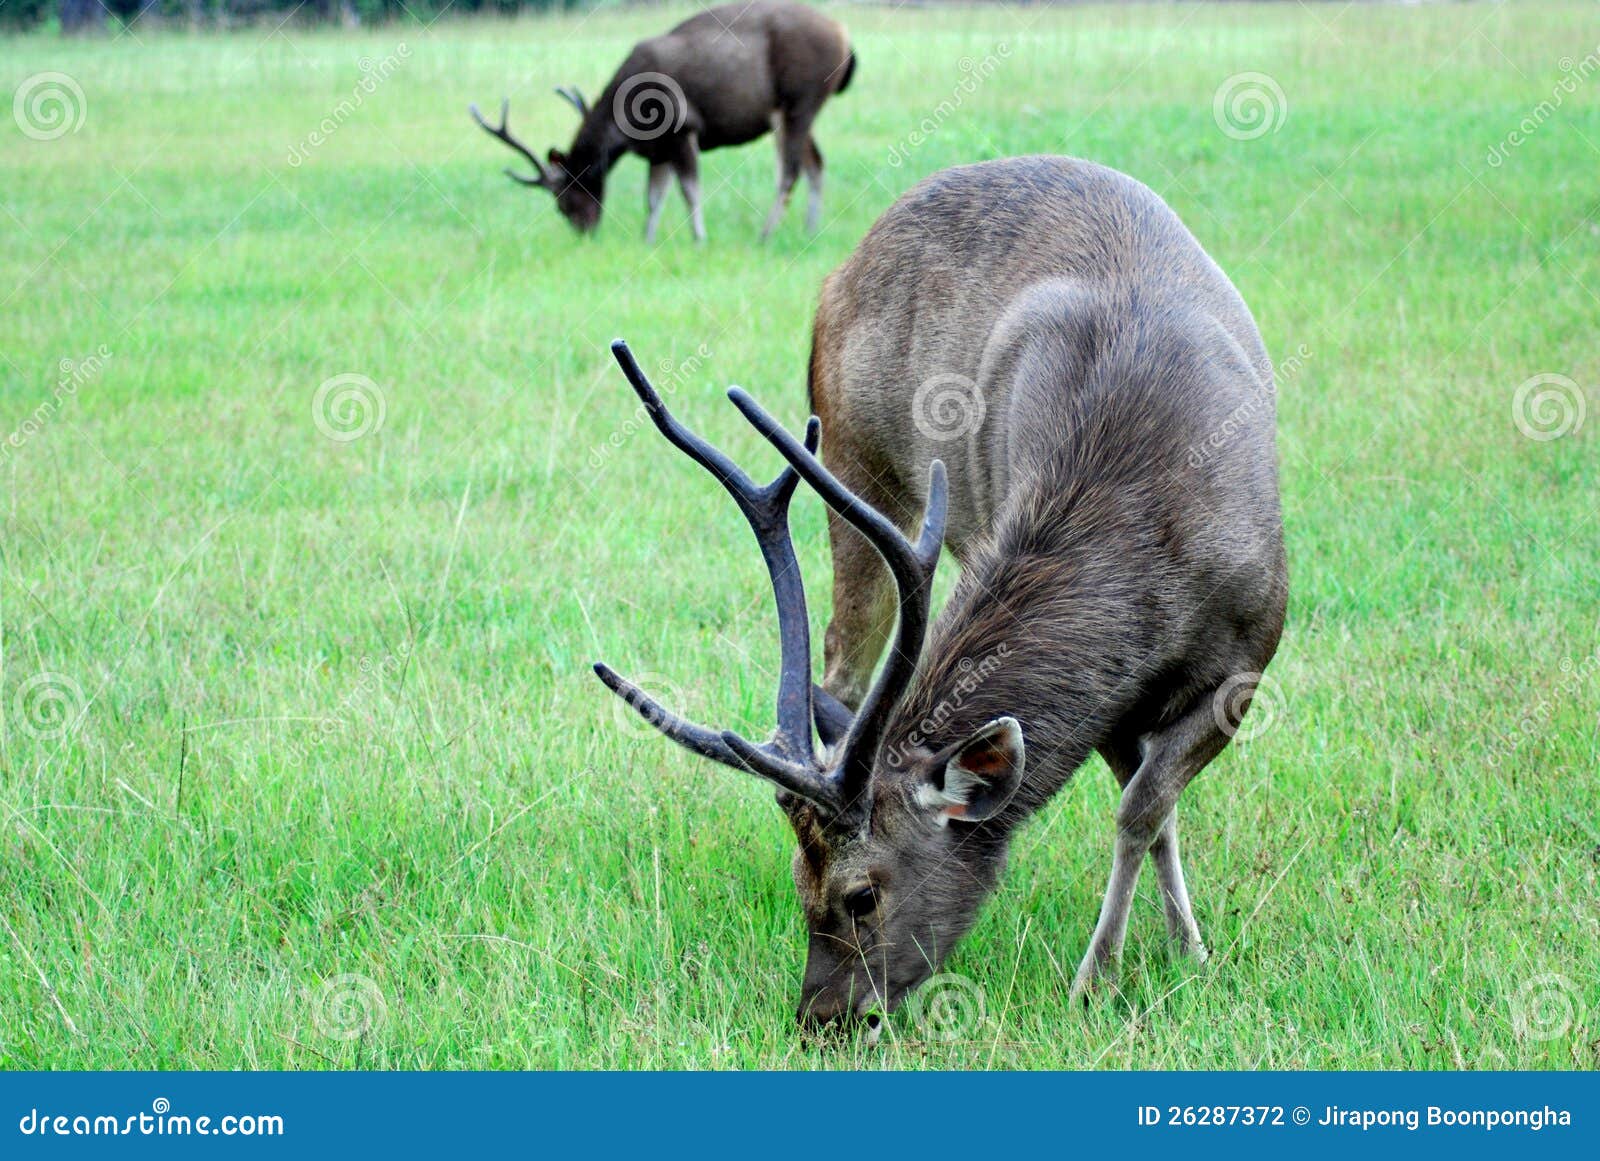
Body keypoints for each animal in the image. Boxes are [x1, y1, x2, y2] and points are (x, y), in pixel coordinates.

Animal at [469, 2, 854, 243]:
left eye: (563, 202)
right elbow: (654, 197)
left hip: (801, 99)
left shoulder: (682, 128)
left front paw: (699, 238)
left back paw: (765, 233)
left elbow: (689, 189)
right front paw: (648, 239)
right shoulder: (658, 149)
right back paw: (809, 229)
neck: (623, 125)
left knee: (790, 169)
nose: (584, 232)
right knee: (815, 163)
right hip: (794, 113)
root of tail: (844, 37)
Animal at [595, 155, 1288, 1033]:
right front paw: (1124, 966)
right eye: (799, 881)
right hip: (853, 455)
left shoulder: (1250, 650)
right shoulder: (1112, 695)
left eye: (861, 893)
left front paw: (1143, 963)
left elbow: (1145, 808)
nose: (820, 1016)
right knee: (843, 661)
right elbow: (1145, 800)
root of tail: (839, 269)